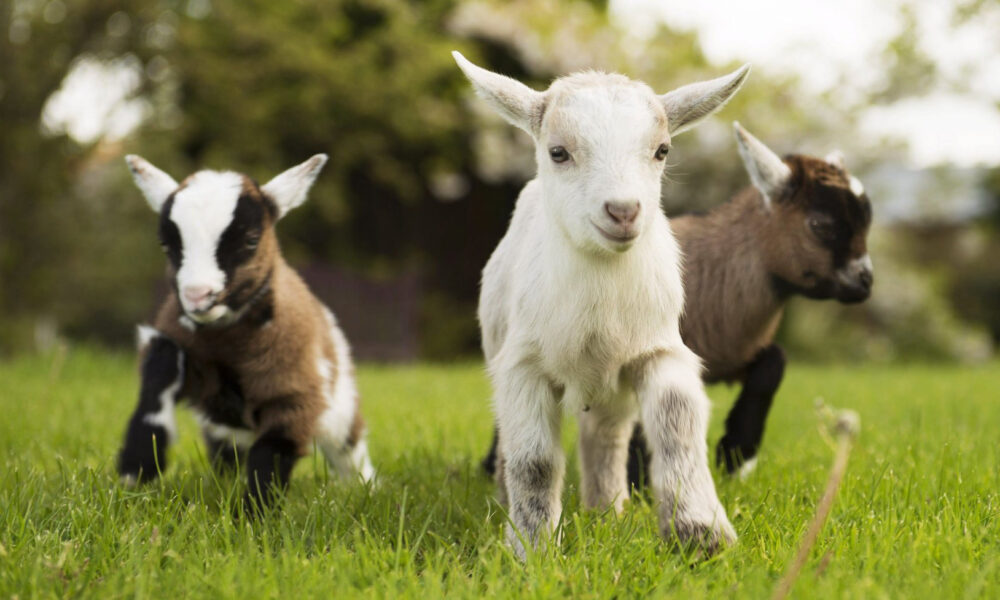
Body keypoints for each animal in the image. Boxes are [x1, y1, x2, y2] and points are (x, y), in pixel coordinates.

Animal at [118, 155, 374, 511]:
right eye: (166, 245)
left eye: (251, 240)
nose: (198, 295)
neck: (225, 342)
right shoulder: (181, 351)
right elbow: (160, 370)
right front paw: (136, 469)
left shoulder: (293, 391)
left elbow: (273, 450)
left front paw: (254, 516)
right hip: (224, 428)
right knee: (227, 452)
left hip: (341, 406)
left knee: (350, 450)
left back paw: (367, 489)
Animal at [453, 50, 750, 556]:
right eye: (558, 152)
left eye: (662, 150)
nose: (623, 211)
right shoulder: (523, 366)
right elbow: (534, 460)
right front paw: (531, 548)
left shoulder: (658, 349)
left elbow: (677, 426)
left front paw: (701, 535)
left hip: (612, 389)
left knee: (606, 437)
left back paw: (606, 512)